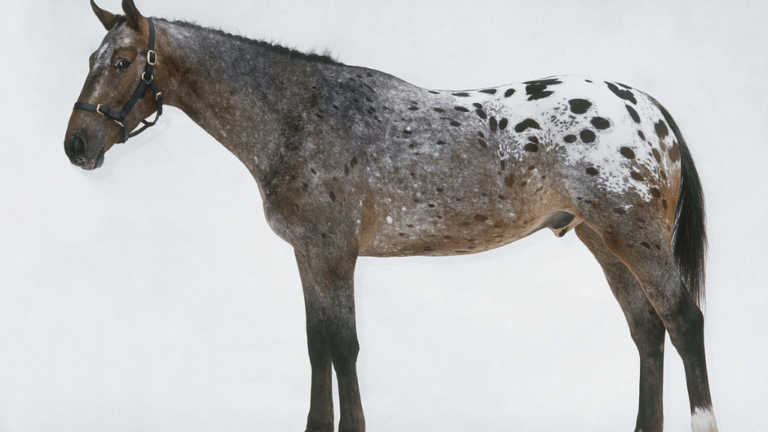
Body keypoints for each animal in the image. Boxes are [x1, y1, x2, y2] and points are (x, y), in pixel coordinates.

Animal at [63, 1, 717, 431]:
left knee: (683, 321)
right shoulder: (308, 254)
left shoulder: (334, 254)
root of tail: (650, 109)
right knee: (647, 330)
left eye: (123, 62)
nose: (77, 145)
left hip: (635, 239)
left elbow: (343, 345)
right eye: (93, 57)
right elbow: (317, 345)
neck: (298, 115)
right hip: (603, 242)